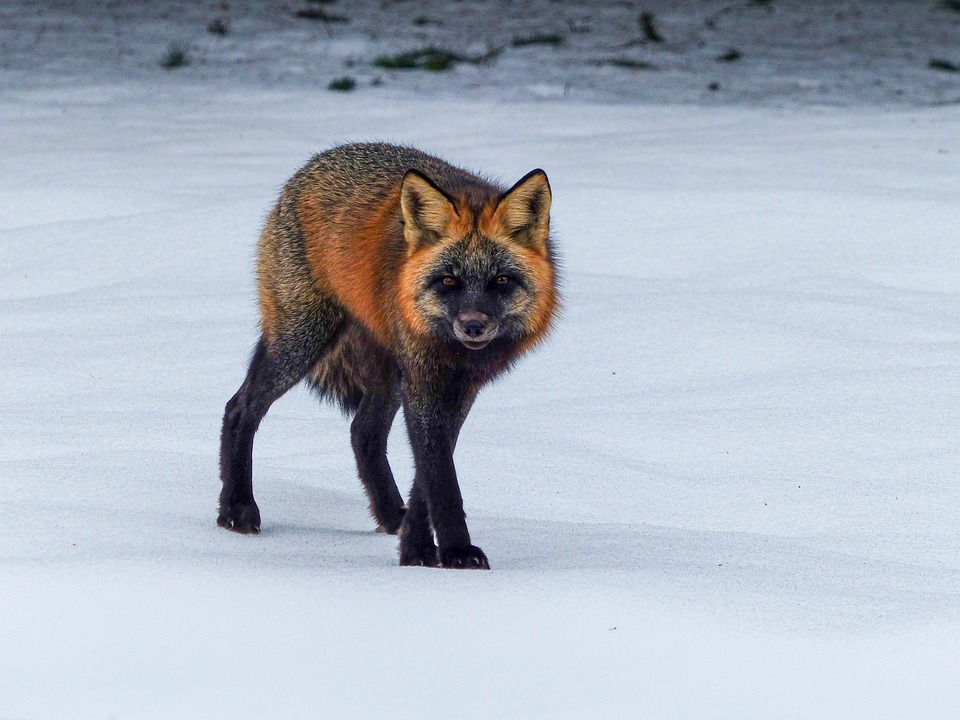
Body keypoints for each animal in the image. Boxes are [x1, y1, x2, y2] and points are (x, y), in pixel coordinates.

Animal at [218, 142, 558, 569]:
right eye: (449, 281)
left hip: (385, 371)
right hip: (302, 342)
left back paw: (390, 515)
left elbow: (428, 476)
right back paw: (237, 509)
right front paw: (455, 551)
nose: (473, 325)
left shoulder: (460, 388)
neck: (450, 353)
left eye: (501, 280)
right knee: (240, 407)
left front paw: (416, 550)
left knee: (363, 432)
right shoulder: (423, 380)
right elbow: (441, 477)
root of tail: (311, 165)